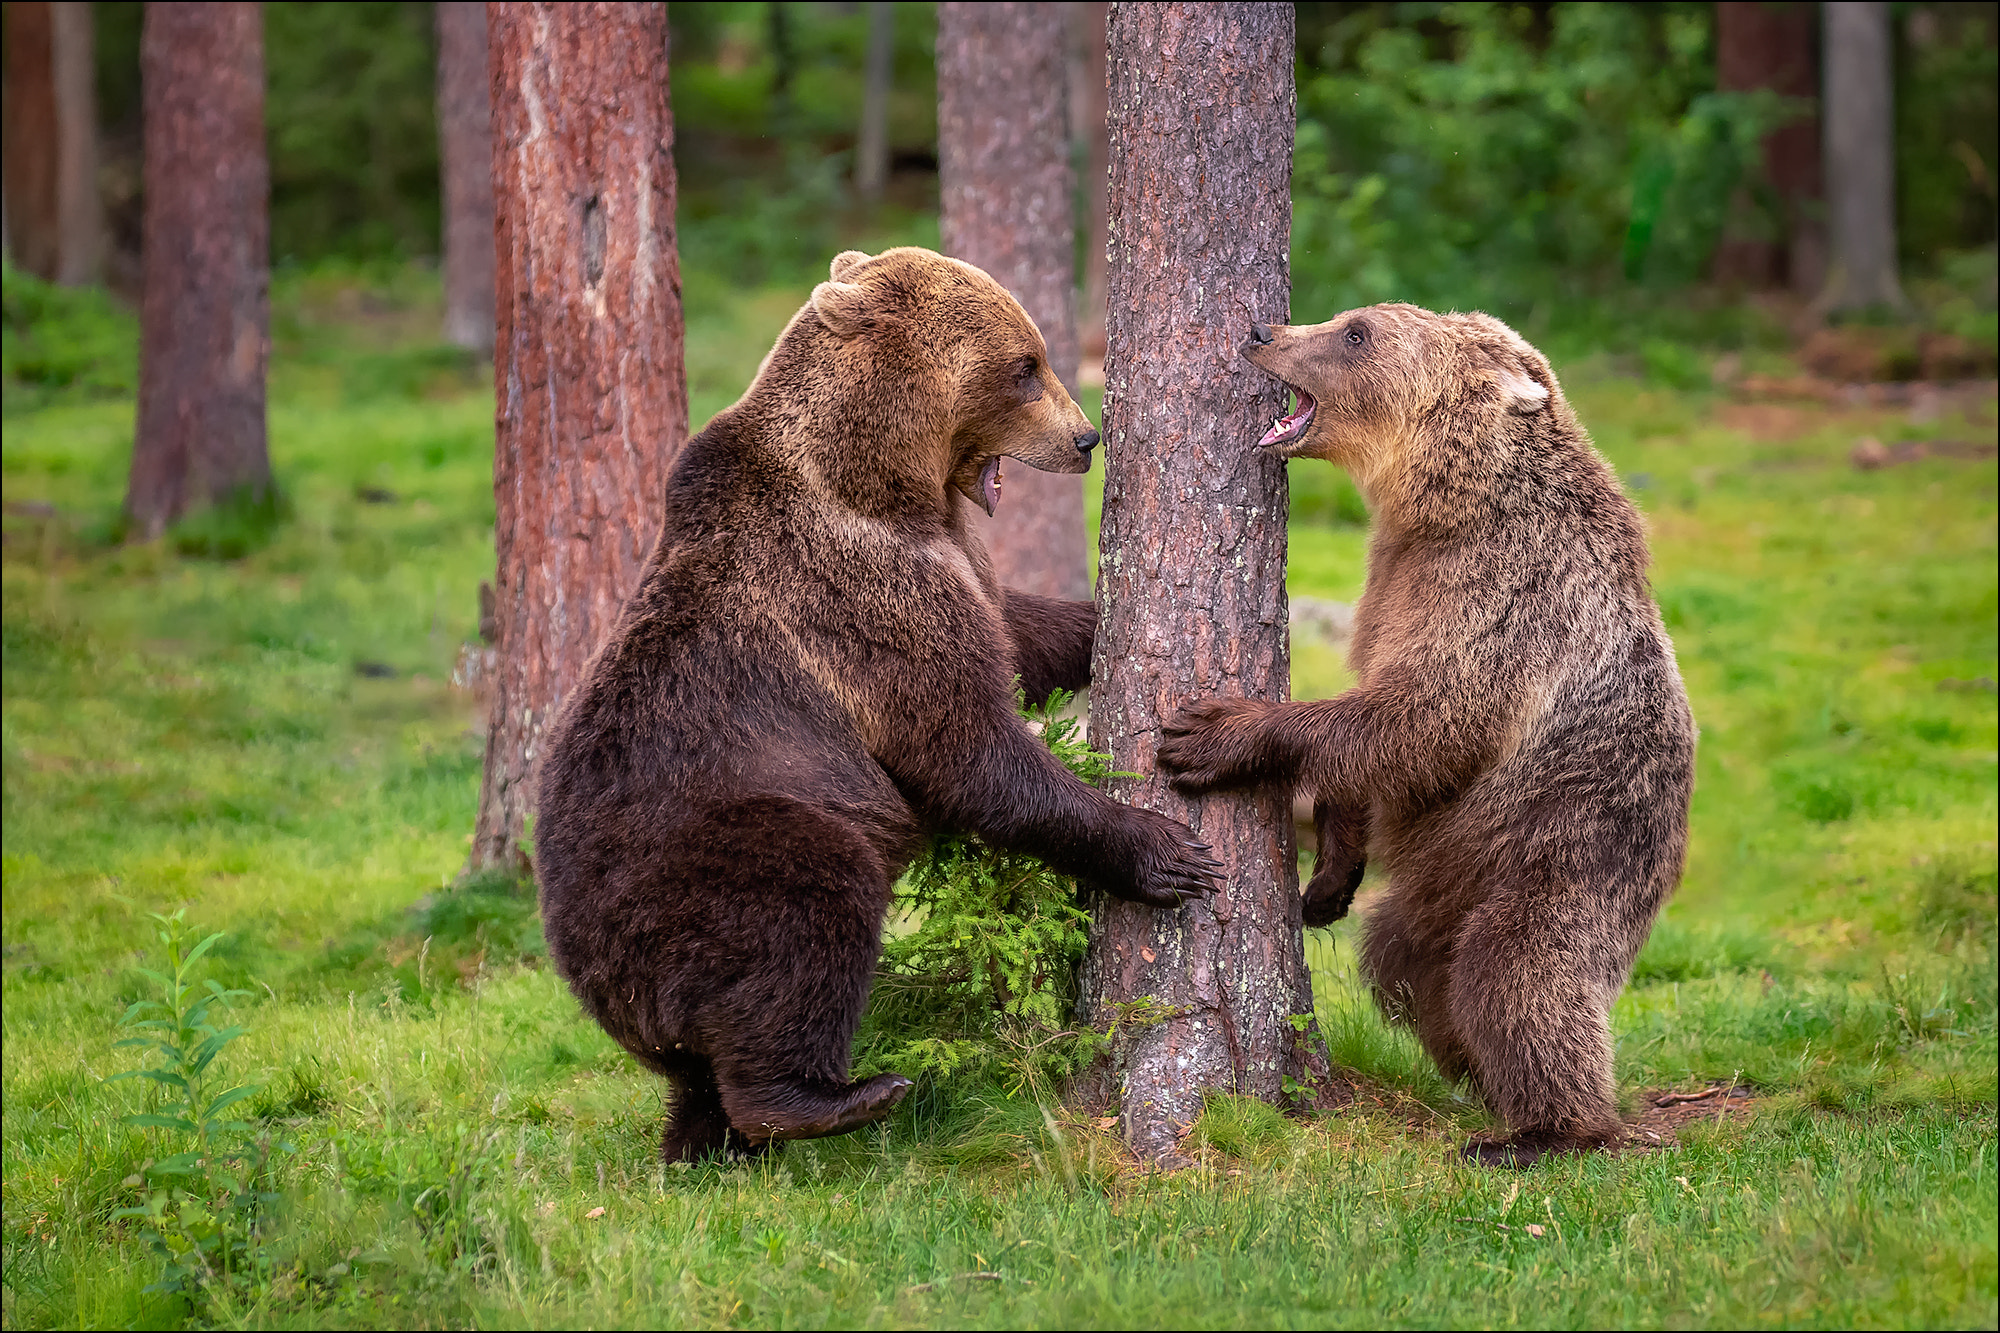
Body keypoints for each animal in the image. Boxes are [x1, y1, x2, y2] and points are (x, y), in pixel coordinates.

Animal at [534, 247, 1223, 1162]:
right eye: (1026, 366)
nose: (1085, 438)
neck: (883, 480)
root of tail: (590, 972)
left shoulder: (950, 560)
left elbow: (1017, 634)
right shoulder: (859, 595)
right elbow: (970, 748)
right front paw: (1168, 850)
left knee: (693, 1071)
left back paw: (704, 1142)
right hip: (696, 856)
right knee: (806, 900)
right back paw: (837, 1095)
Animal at [1156, 302, 1695, 1167]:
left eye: (1356, 332)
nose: (1264, 333)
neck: (1446, 505)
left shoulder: (1501, 595)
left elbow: (1420, 716)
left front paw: (1213, 730)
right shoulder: (1391, 583)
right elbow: (1373, 733)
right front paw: (1326, 880)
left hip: (1572, 844)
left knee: (1518, 972)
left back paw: (1547, 1128)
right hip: (1455, 867)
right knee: (1404, 958)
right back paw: (1472, 1068)